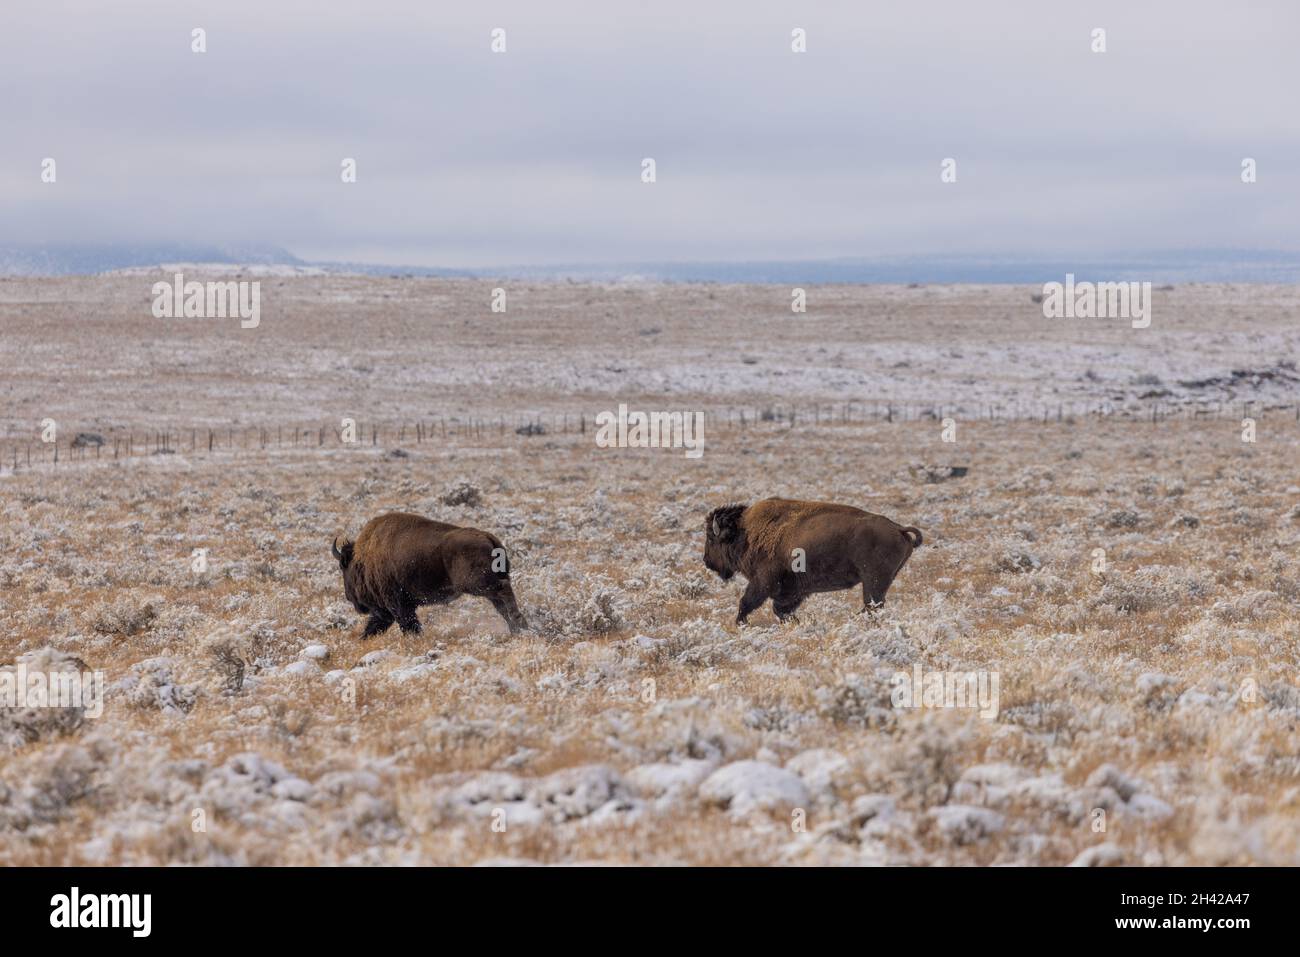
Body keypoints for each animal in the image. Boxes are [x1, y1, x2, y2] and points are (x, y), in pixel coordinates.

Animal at [332, 512, 527, 637]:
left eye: (343, 568)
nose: (350, 598)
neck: (364, 558)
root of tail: (488, 537)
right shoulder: (386, 611)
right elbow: (374, 626)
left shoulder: (397, 604)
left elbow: (408, 624)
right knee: (500, 603)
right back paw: (515, 629)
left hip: (476, 584)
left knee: (503, 591)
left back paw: (519, 622)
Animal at [703, 497, 923, 624]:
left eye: (711, 539)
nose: (706, 561)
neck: (744, 532)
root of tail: (898, 528)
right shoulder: (793, 591)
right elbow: (780, 608)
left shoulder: (763, 582)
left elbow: (747, 602)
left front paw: (740, 622)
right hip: (880, 581)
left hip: (873, 580)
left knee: (872, 605)